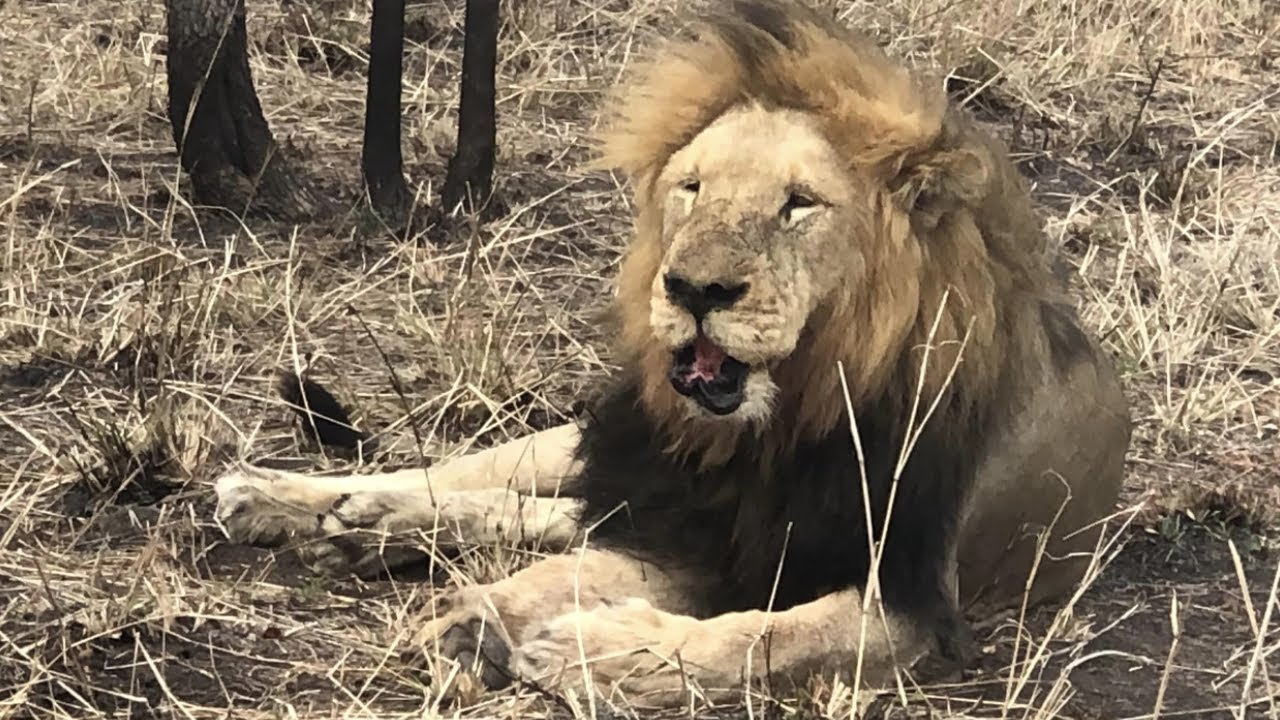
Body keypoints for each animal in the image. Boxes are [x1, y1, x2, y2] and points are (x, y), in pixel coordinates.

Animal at [212, 0, 1132, 708]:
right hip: (610, 438)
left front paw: (589, 649)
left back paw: (368, 529)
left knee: (555, 511)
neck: (778, 427)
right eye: (692, 187)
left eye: (800, 204)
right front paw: (481, 619)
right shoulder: (691, 523)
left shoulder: (911, 604)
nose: (692, 288)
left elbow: (768, 637)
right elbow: (569, 560)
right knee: (476, 475)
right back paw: (308, 500)